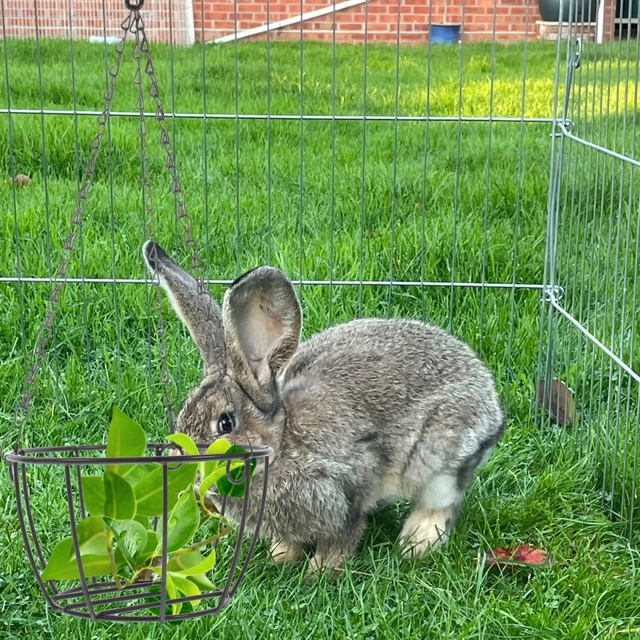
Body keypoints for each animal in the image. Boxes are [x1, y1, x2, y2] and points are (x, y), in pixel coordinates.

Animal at [142, 241, 505, 578]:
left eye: (226, 423)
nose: (183, 473)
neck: (280, 447)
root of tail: (490, 399)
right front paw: (281, 557)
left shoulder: (346, 492)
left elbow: (342, 538)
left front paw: (319, 573)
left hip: (442, 461)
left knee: (441, 503)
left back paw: (415, 544)